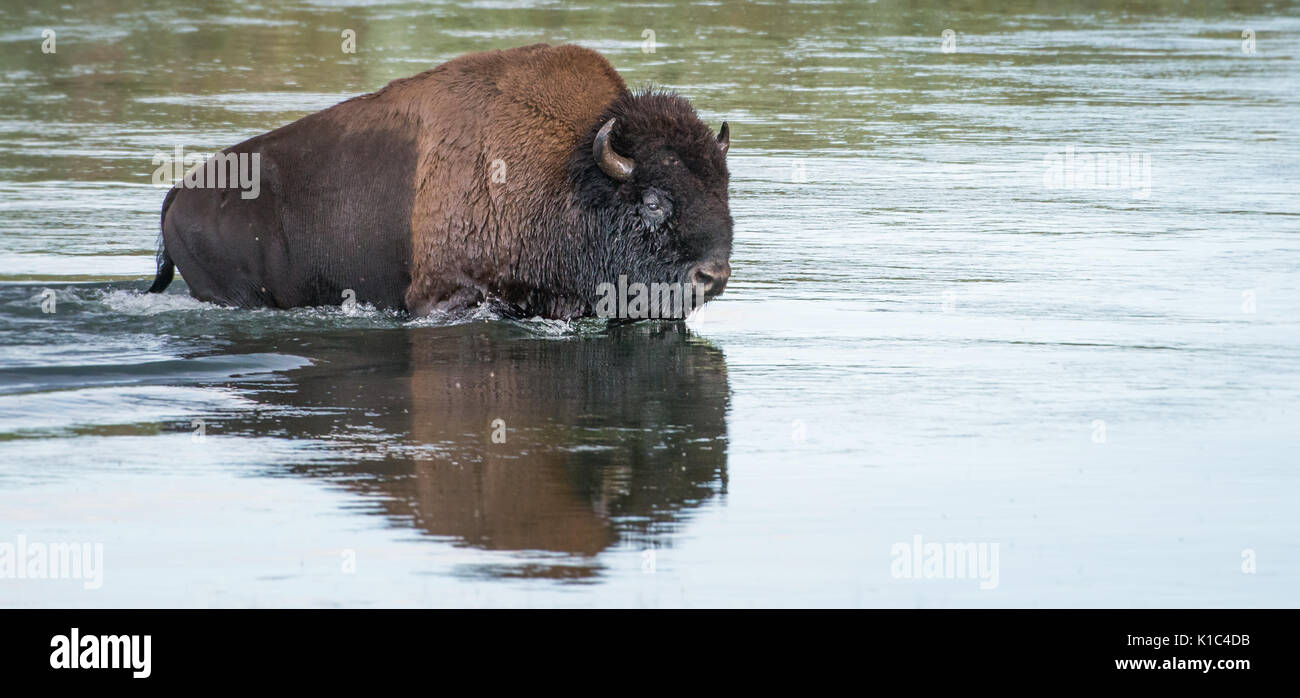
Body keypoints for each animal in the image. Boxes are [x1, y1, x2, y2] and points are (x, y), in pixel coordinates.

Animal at [147, 43, 734, 319]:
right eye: (653, 202)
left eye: (723, 190)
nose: (712, 276)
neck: (568, 172)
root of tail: (176, 194)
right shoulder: (445, 295)